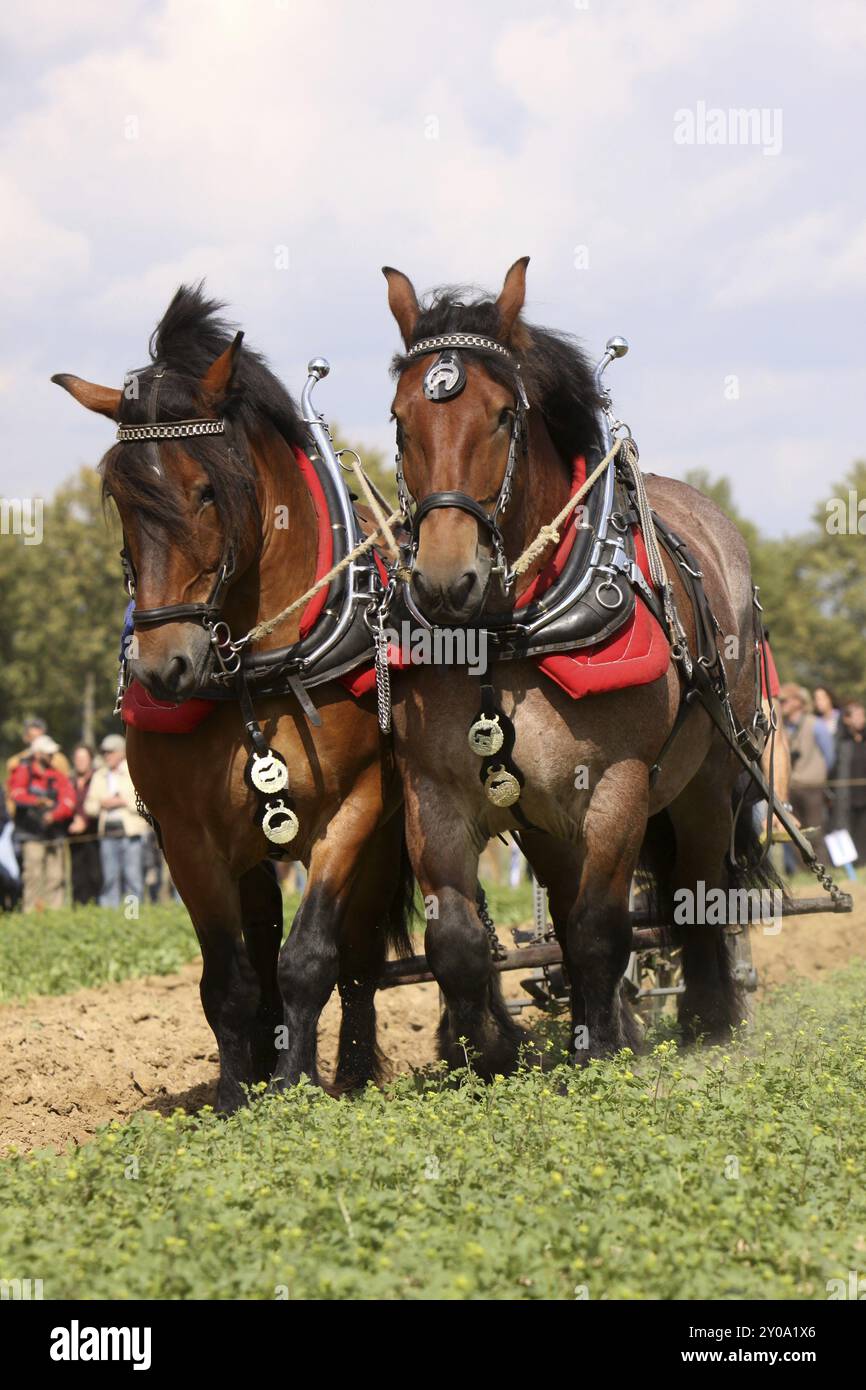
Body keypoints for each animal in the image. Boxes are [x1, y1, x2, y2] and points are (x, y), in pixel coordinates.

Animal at [52, 285, 413, 1111]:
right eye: (120, 499)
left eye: (207, 490)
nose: (164, 668)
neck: (258, 675)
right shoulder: (185, 835)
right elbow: (228, 976)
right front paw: (232, 1095)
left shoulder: (355, 810)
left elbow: (312, 956)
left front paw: (298, 1086)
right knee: (262, 940)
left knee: (359, 954)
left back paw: (348, 1068)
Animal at [381, 257, 777, 1076]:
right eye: (401, 420)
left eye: (503, 415)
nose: (444, 582)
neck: (505, 637)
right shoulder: (432, 791)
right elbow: (457, 938)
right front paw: (485, 1052)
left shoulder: (618, 785)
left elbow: (601, 926)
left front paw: (607, 1049)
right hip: (544, 816)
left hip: (709, 776)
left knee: (697, 893)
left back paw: (709, 1015)